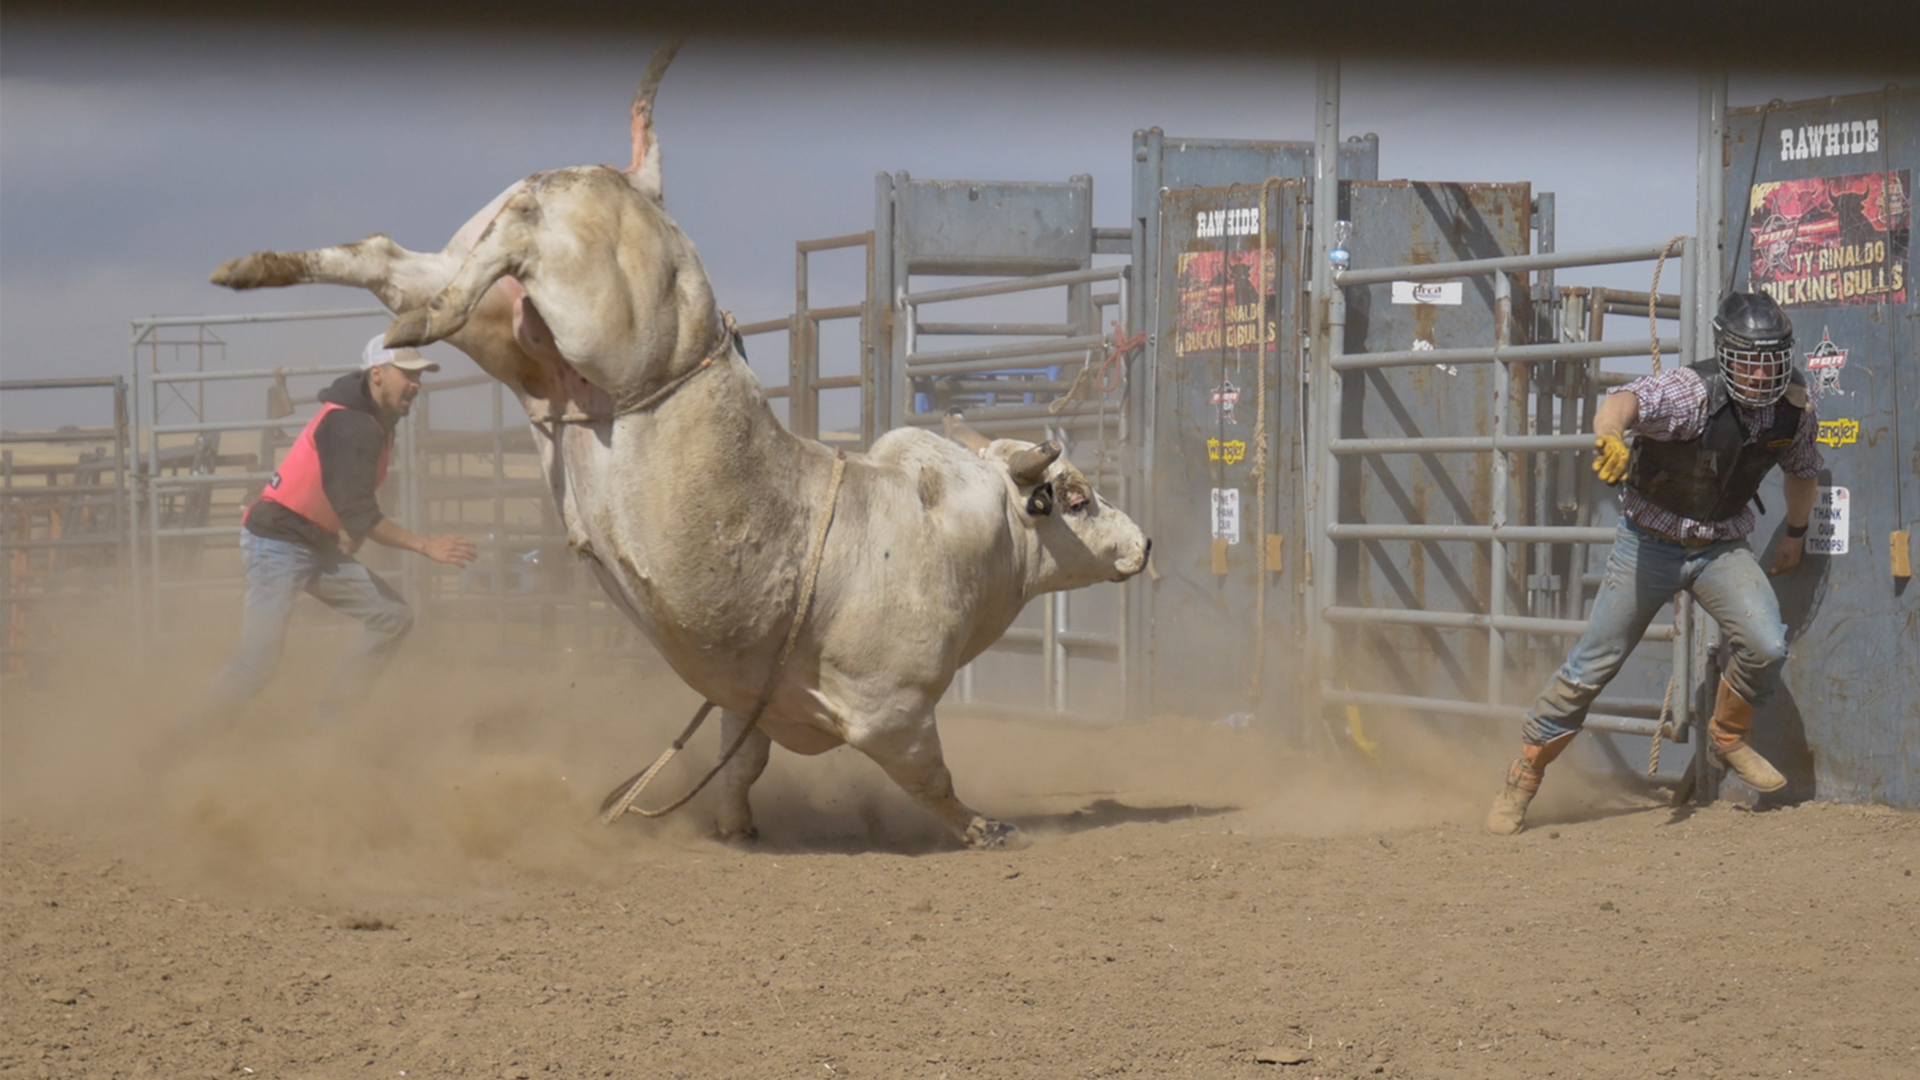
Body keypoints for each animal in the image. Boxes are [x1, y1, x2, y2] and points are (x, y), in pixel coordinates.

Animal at [209, 44, 1149, 849]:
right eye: (1075, 496)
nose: (1144, 543)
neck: (960, 532)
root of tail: (638, 183)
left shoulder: (753, 697)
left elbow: (741, 760)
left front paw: (735, 827)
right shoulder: (896, 709)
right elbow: (932, 777)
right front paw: (987, 828)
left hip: (502, 323)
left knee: (387, 257)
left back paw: (262, 271)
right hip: (597, 308)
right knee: (511, 242)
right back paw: (403, 316)